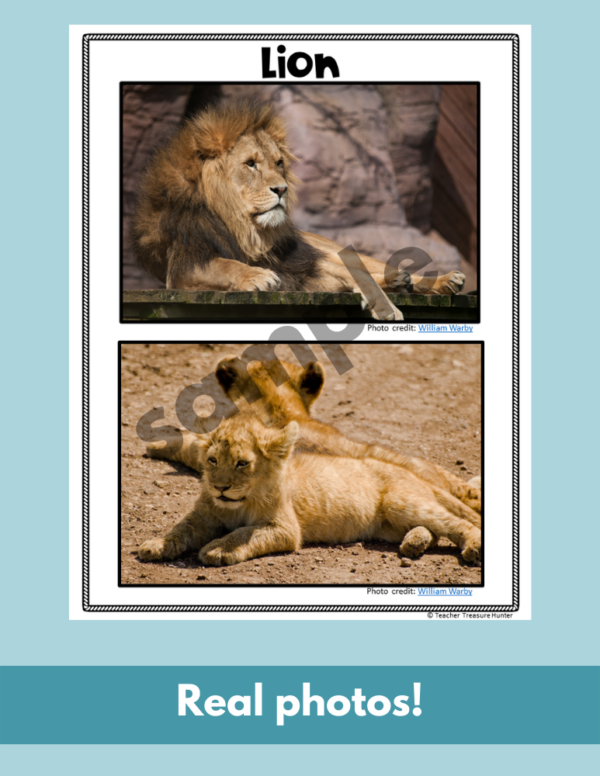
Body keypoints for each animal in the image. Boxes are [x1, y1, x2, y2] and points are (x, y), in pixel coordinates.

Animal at [131, 99, 466, 321]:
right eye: (250, 164)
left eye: (278, 163)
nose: (281, 189)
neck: (247, 231)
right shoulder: (184, 267)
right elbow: (225, 265)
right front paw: (259, 276)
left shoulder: (302, 260)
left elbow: (356, 271)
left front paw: (385, 306)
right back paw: (400, 280)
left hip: (322, 244)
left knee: (366, 263)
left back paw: (440, 280)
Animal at [142, 357, 482, 562]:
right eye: (214, 462)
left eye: (243, 464)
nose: (221, 488)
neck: (279, 408)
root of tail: (415, 476)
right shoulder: (204, 513)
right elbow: (182, 527)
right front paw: (157, 544)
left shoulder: (284, 526)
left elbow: (245, 532)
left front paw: (216, 548)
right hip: (398, 510)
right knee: (442, 520)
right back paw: (416, 541)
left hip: (404, 500)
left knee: (458, 519)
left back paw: (471, 545)